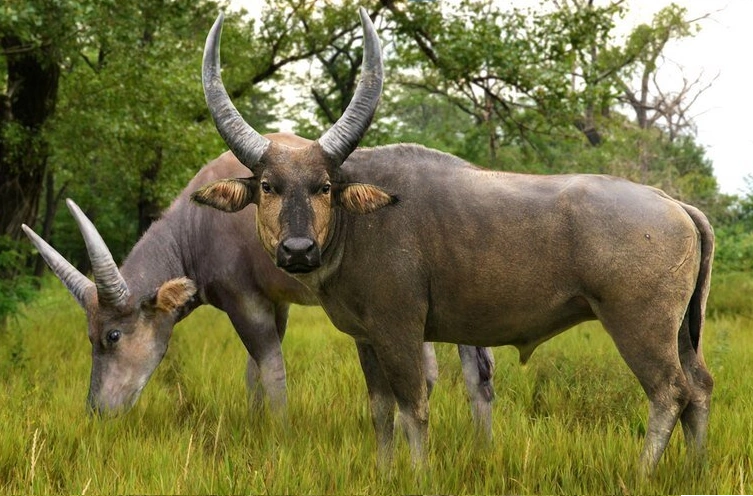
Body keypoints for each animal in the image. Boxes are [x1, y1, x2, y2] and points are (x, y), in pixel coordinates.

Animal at [21, 153, 495, 432]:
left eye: (113, 335)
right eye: (89, 336)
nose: (97, 412)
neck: (201, 222)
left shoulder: (244, 303)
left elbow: (271, 369)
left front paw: (280, 435)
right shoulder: (273, 304)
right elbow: (253, 372)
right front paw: (255, 424)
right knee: (472, 371)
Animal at [191, 8, 715, 473]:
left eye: (323, 186)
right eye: (267, 186)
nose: (297, 251)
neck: (358, 222)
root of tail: (673, 203)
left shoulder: (399, 331)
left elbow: (414, 410)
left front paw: (417, 474)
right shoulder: (367, 339)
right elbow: (380, 412)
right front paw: (384, 473)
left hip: (641, 330)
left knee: (670, 393)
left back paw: (643, 473)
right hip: (682, 335)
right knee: (700, 388)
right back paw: (694, 470)